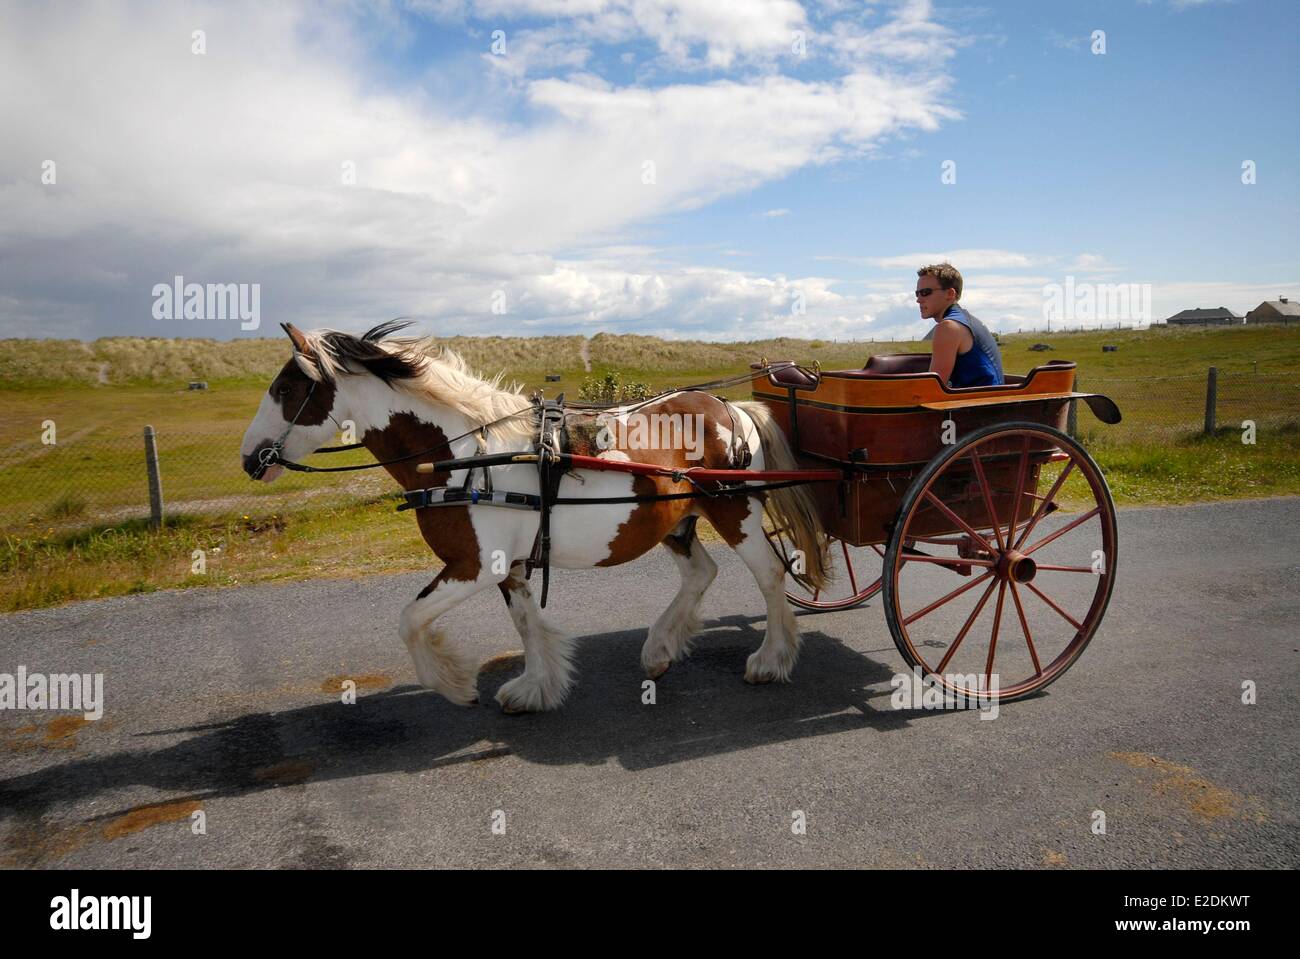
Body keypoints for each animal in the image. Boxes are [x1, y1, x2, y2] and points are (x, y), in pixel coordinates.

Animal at [240, 321, 829, 713]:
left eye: (285, 389)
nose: (249, 458)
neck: (465, 455)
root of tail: (729, 407)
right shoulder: (508, 564)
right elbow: (525, 621)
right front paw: (537, 684)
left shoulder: (474, 565)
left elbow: (409, 620)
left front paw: (454, 685)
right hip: (674, 519)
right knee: (701, 573)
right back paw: (660, 648)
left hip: (736, 508)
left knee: (769, 574)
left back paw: (772, 658)